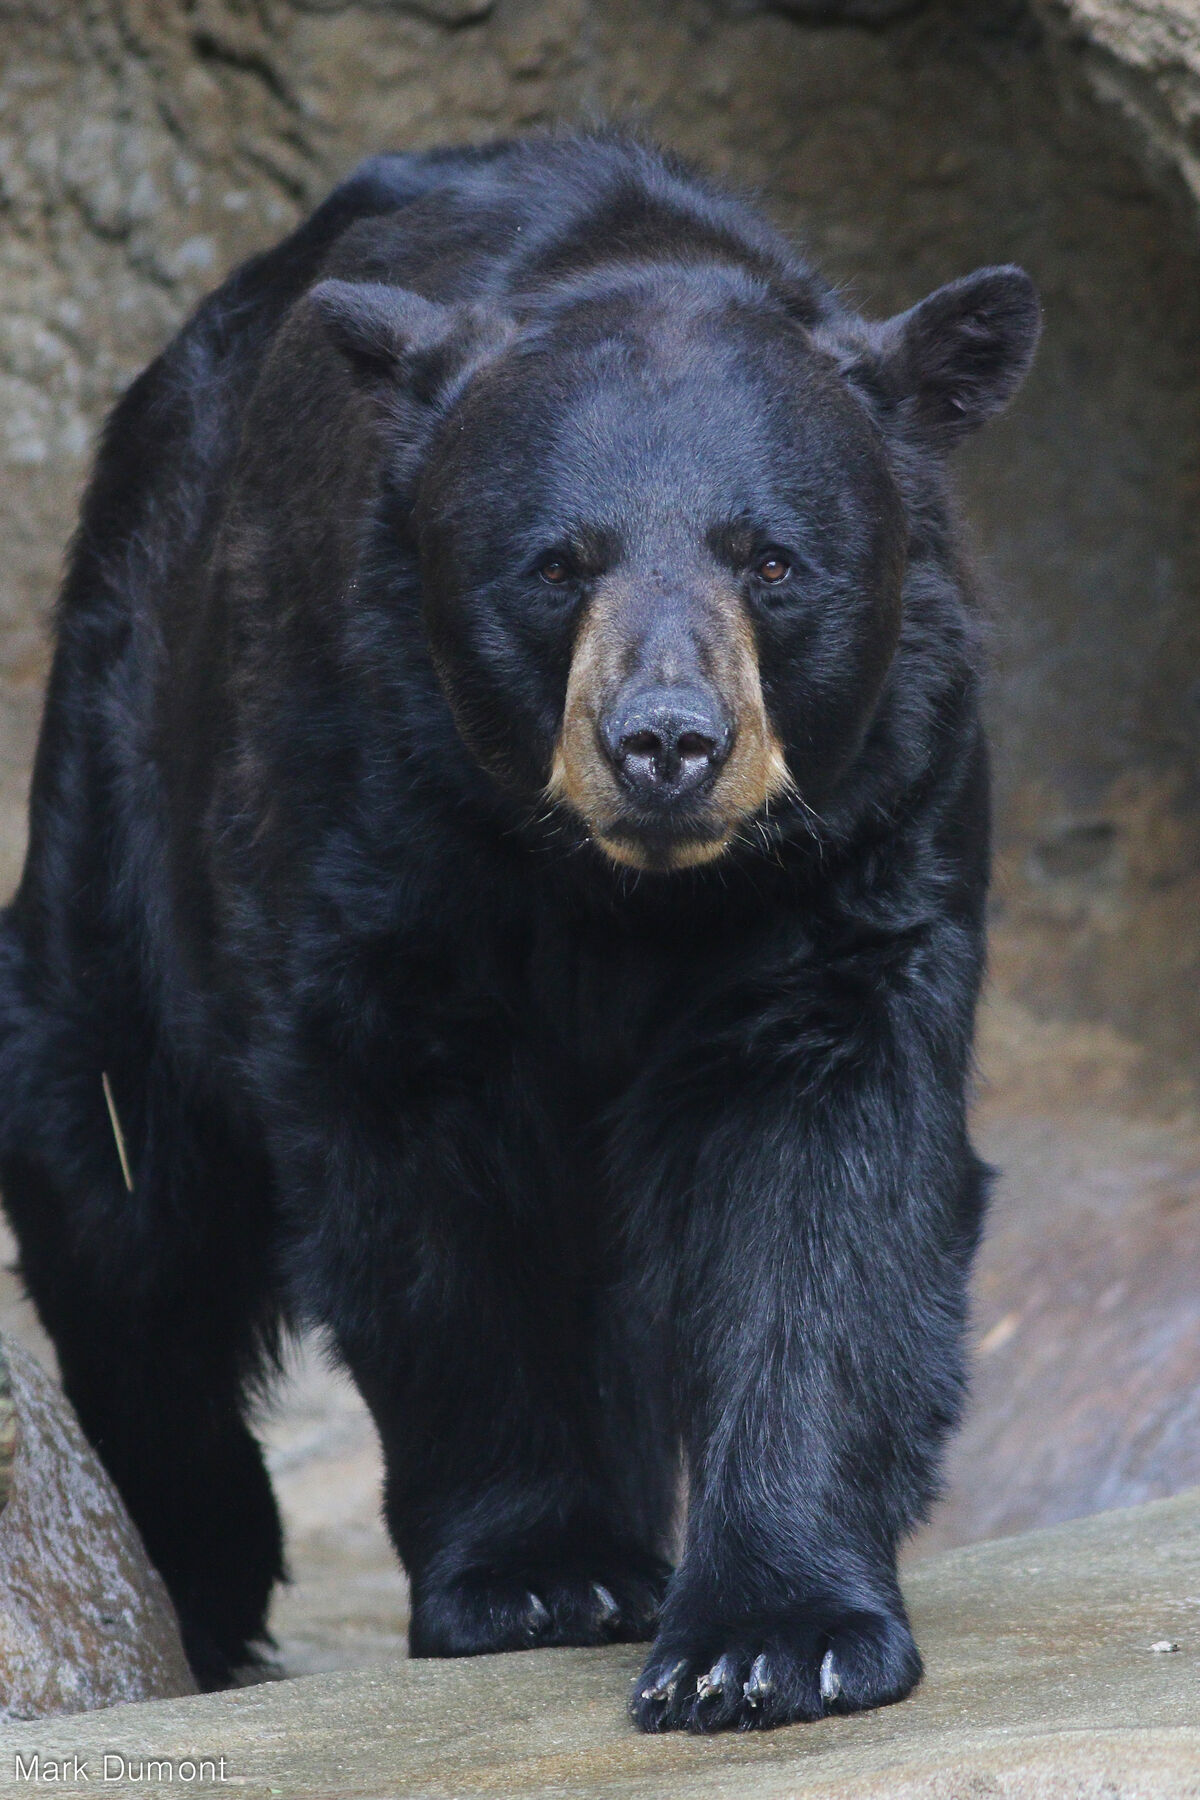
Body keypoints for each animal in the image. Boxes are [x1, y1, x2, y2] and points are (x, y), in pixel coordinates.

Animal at [0, 130, 1036, 1728]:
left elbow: (826, 1168)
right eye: (558, 564)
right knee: (117, 1166)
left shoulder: (869, 824)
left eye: (773, 560)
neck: (618, 884)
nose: (666, 743)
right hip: (127, 758)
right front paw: (541, 1573)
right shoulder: (371, 792)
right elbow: (426, 1176)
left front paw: (770, 1634)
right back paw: (198, 1575)